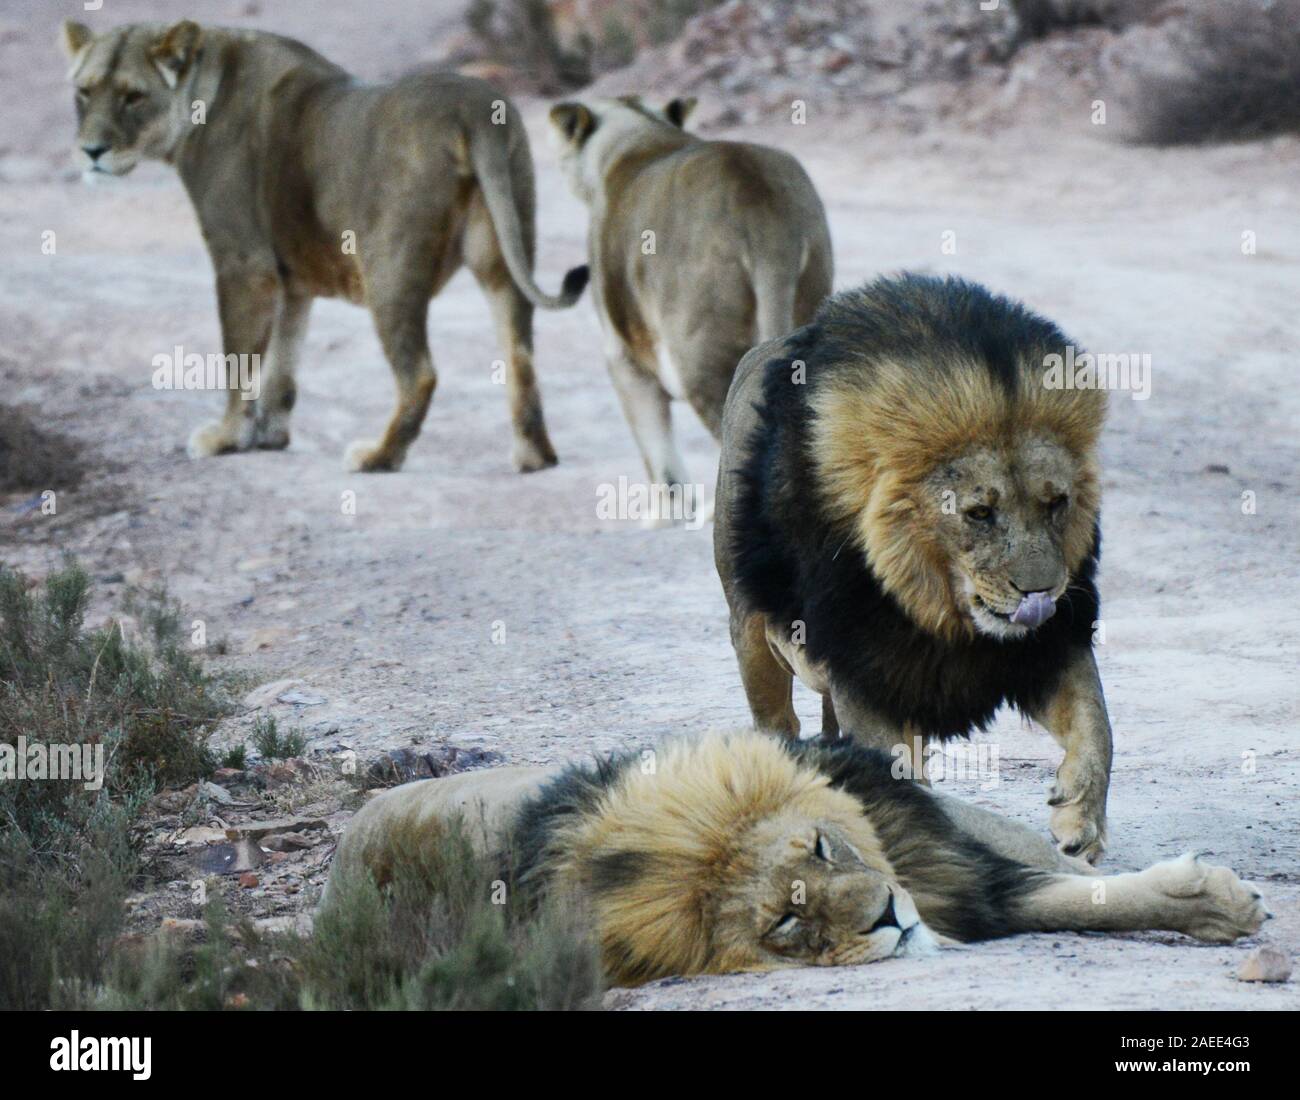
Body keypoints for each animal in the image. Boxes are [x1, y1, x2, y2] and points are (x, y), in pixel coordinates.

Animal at [60, 19, 588, 473]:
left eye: (133, 96)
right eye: (84, 92)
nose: (90, 151)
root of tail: (473, 110)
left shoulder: (244, 263)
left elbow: (239, 360)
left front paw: (225, 438)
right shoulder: (291, 280)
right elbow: (282, 361)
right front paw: (268, 435)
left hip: (387, 266)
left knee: (420, 374)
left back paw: (377, 457)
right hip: (504, 251)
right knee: (520, 357)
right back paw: (534, 457)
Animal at [321, 730, 1268, 986]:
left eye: (822, 844)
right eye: (787, 917)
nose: (887, 916)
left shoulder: (944, 859)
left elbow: (1074, 888)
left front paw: (1219, 904)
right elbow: (1069, 894)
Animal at [547, 95, 832, 525]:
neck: (639, 135)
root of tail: (760, 204)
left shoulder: (623, 359)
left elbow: (657, 452)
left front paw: (664, 516)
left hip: (698, 353)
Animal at [714, 274, 1116, 862]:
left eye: (1056, 503)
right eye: (979, 512)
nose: (1040, 593)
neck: (940, 610)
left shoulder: (1048, 645)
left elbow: (1097, 725)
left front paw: (1079, 820)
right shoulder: (866, 668)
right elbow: (893, 766)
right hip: (750, 630)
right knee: (776, 720)